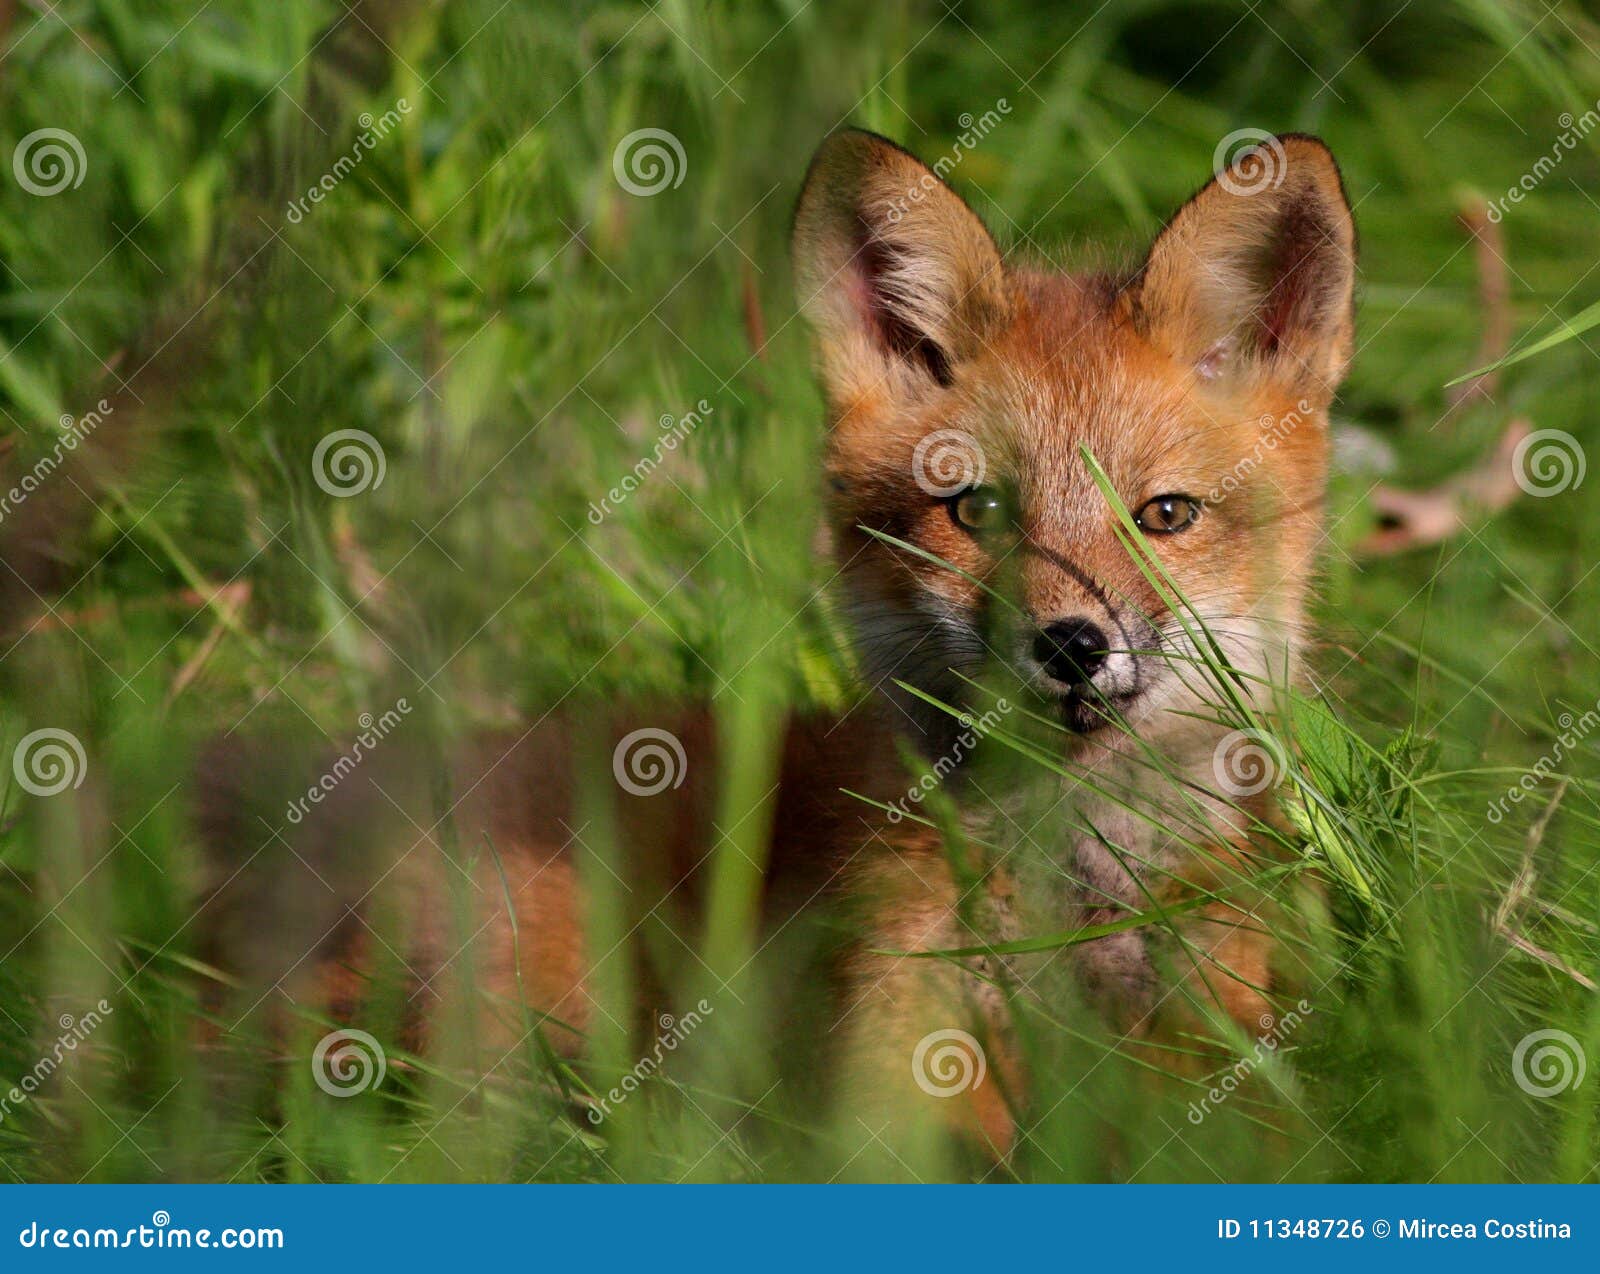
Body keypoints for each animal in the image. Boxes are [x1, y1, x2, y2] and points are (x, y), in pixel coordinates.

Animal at [185, 127, 1355, 1168]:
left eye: (1165, 514)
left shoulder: (1224, 1037)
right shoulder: (886, 1059)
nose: (1072, 645)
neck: (1065, 902)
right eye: (974, 509)